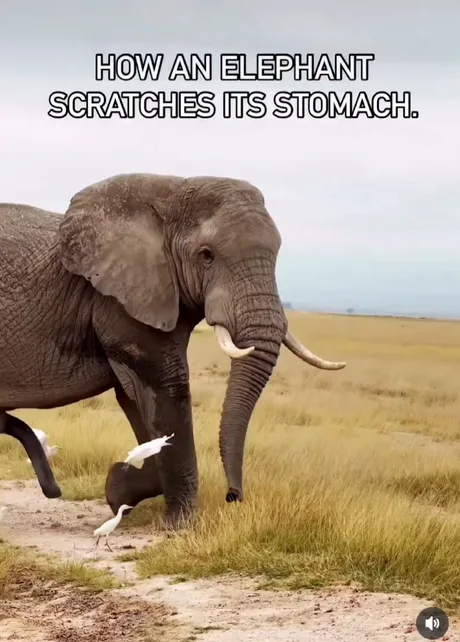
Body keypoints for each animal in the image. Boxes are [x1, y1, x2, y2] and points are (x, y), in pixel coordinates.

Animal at [0, 173, 345, 527]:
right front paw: (181, 525)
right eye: (206, 255)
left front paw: (118, 489)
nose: (233, 496)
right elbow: (166, 387)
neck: (172, 192)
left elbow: (136, 401)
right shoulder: (120, 299)